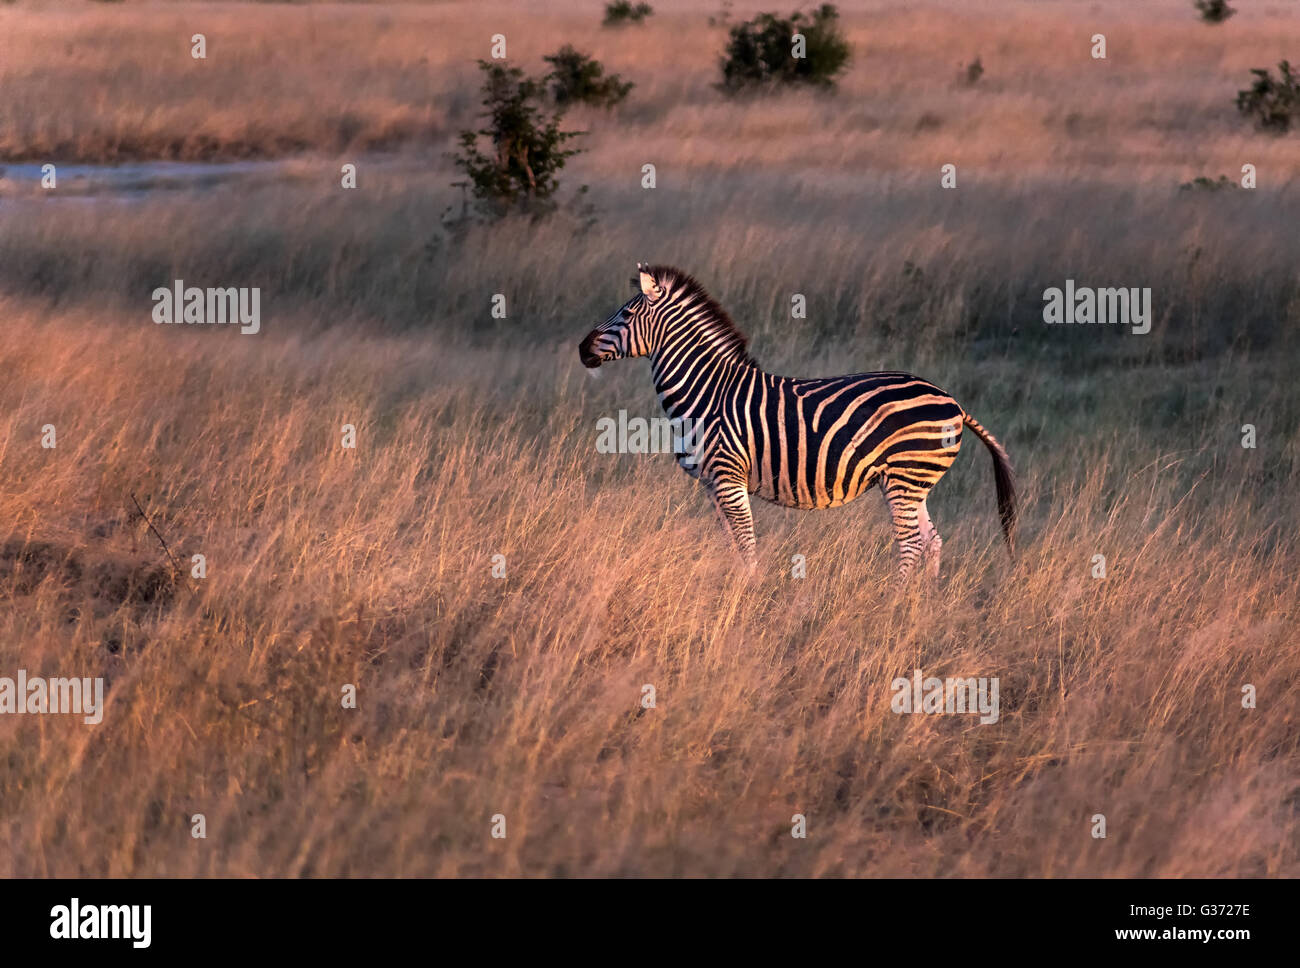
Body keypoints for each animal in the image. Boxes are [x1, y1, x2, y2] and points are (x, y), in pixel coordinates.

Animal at [578, 264, 1017, 581]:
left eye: (626, 313)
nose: (582, 348)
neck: (707, 390)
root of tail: (953, 402)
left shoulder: (729, 477)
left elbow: (747, 546)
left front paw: (746, 597)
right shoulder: (711, 484)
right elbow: (731, 546)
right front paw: (733, 590)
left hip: (905, 479)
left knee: (910, 545)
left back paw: (894, 601)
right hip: (913, 483)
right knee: (932, 541)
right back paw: (922, 605)